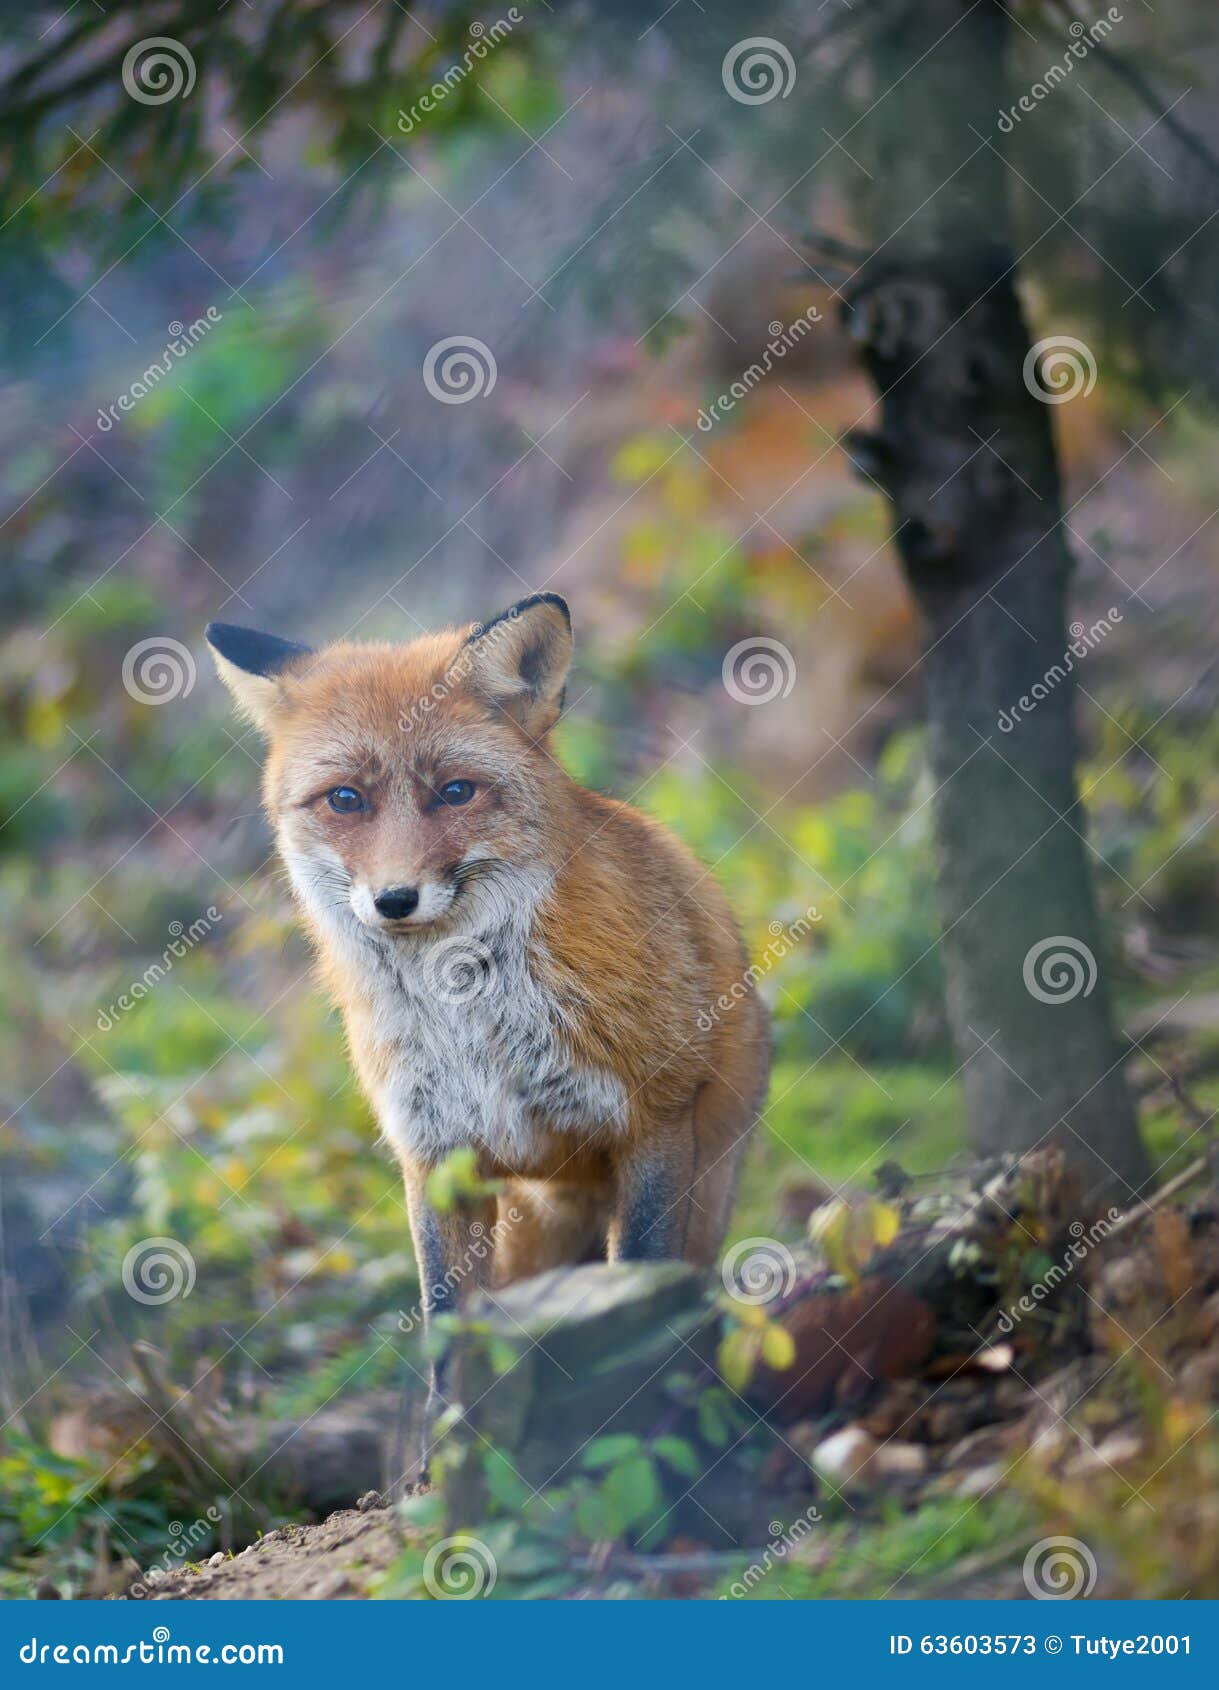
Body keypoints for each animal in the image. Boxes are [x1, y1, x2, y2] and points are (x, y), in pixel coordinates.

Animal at [207, 594, 770, 1347]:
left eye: (455, 792)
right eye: (345, 799)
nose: (394, 899)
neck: (469, 1023)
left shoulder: (653, 1121)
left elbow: (643, 1268)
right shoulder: (434, 1156)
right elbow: (445, 1323)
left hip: (700, 1193)